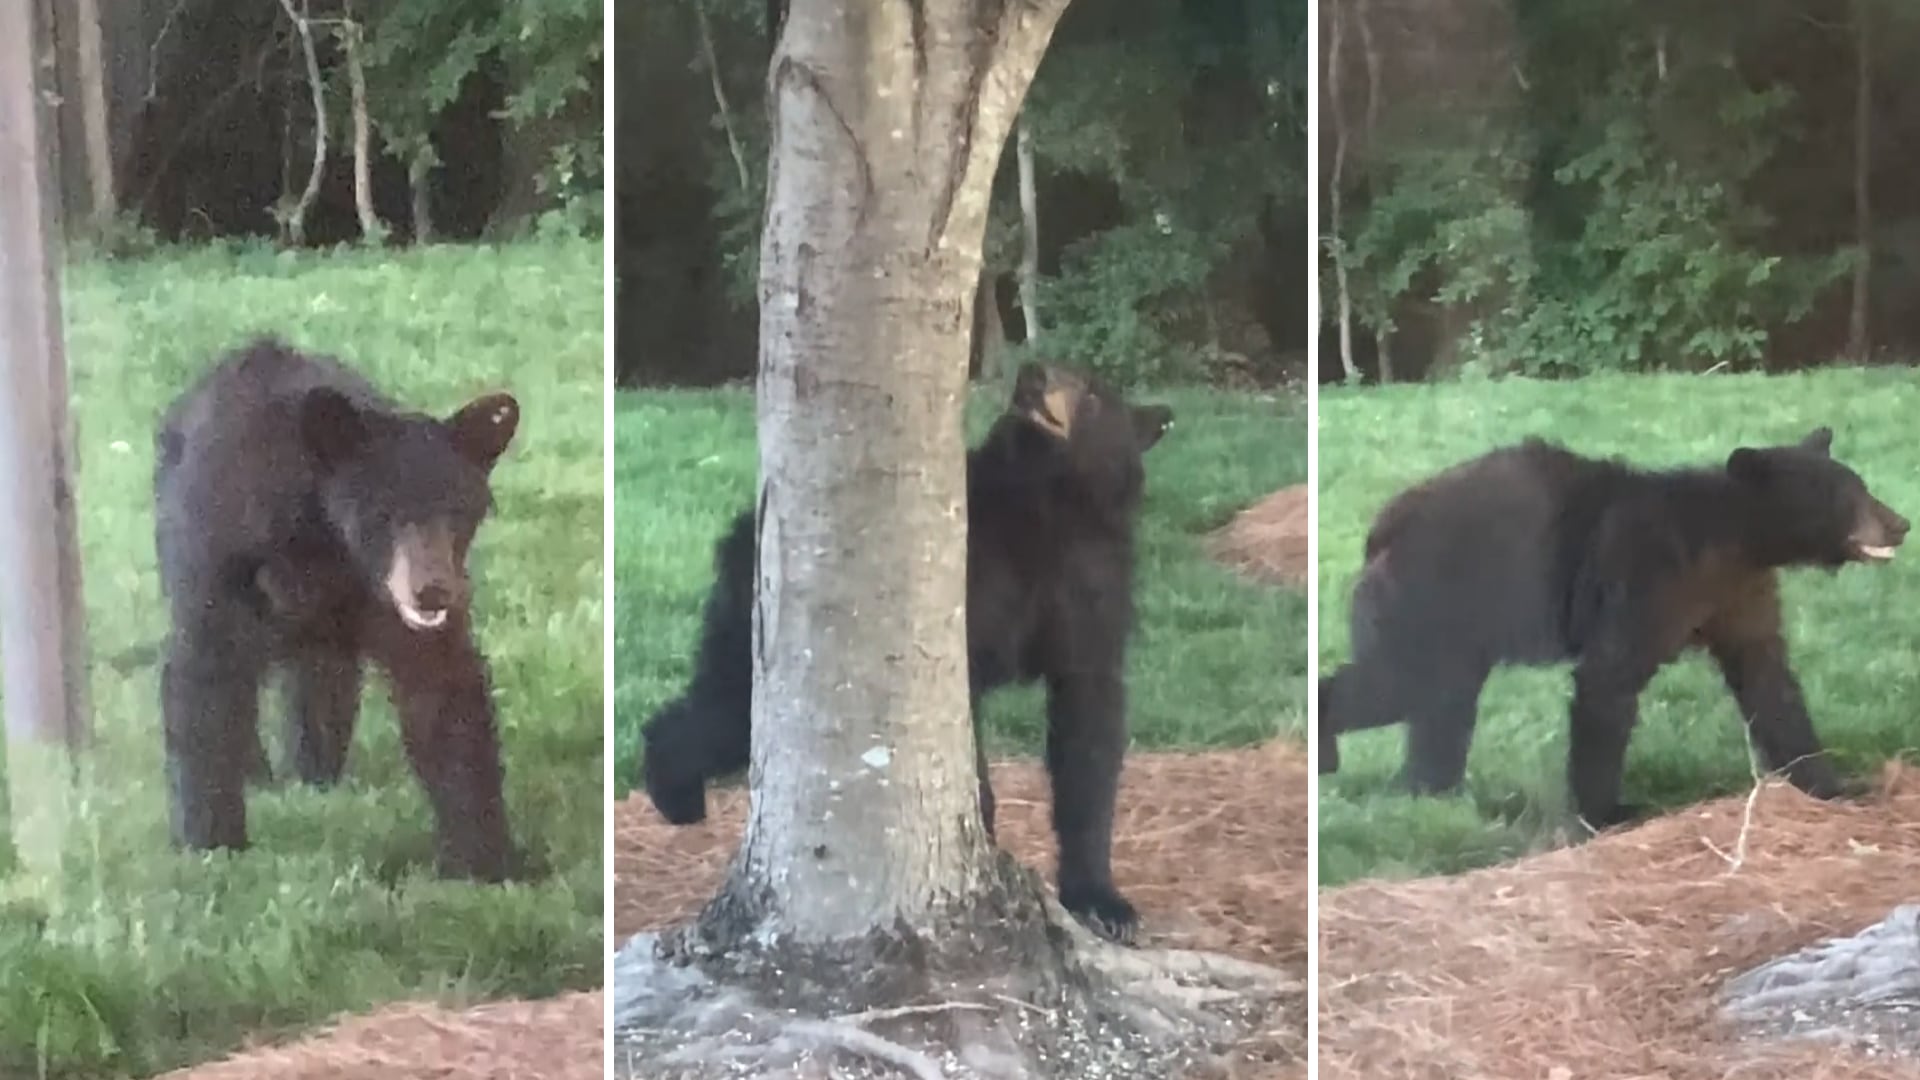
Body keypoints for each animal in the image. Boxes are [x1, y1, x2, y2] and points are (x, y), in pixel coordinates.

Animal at [153, 336, 521, 881]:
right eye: (384, 512)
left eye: (458, 509)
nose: (433, 592)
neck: (323, 538)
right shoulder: (224, 557)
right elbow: (205, 676)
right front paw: (212, 844)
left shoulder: (383, 599)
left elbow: (441, 687)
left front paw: (481, 863)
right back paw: (259, 771)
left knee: (323, 682)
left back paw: (316, 774)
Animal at [640, 361, 1174, 943]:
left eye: (1092, 391)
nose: (1032, 374)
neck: (1046, 504)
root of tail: (737, 537)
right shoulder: (971, 582)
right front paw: (980, 835)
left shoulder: (1092, 587)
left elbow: (1089, 725)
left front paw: (1103, 901)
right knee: (733, 711)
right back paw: (674, 789)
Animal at [1319, 427, 1909, 828]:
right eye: (1848, 494)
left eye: (1860, 485)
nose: (1901, 523)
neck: (1736, 540)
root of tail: (1381, 529)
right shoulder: (1646, 579)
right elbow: (1608, 683)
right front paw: (1609, 811)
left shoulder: (1740, 595)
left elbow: (1771, 683)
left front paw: (1835, 784)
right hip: (1430, 604)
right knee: (1400, 686)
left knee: (1441, 707)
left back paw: (1432, 790)